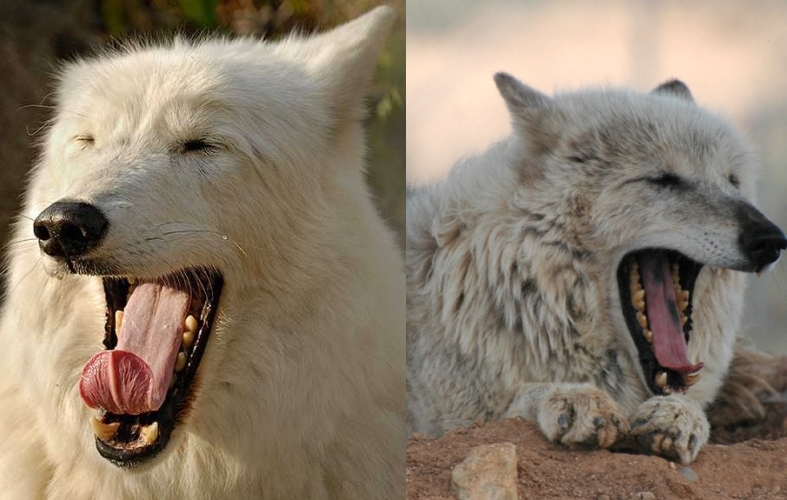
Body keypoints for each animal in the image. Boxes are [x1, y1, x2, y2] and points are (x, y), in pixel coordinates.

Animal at [406, 73, 786, 464]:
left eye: (733, 181)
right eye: (664, 180)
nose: (770, 240)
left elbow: (691, 405)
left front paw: (680, 417)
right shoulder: (447, 419)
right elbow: (522, 397)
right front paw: (572, 398)